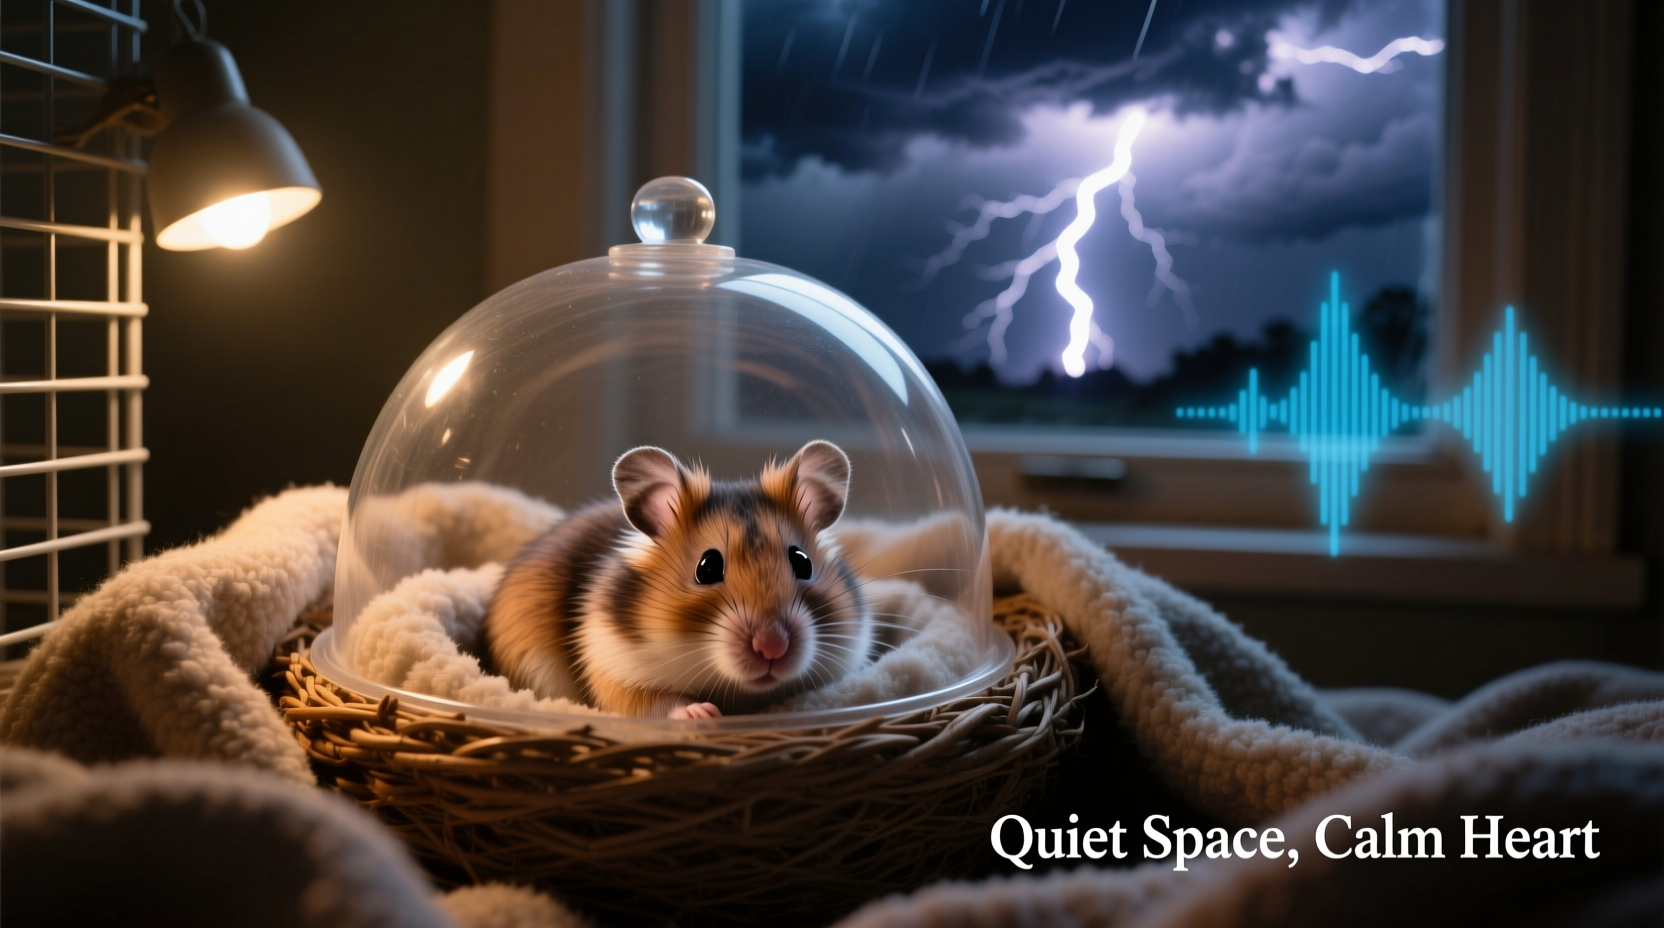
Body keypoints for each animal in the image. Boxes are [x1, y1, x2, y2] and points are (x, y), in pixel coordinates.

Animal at [484, 440, 874, 719]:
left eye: (802, 562)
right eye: (707, 567)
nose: (772, 647)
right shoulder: (610, 663)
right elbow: (654, 701)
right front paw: (705, 713)